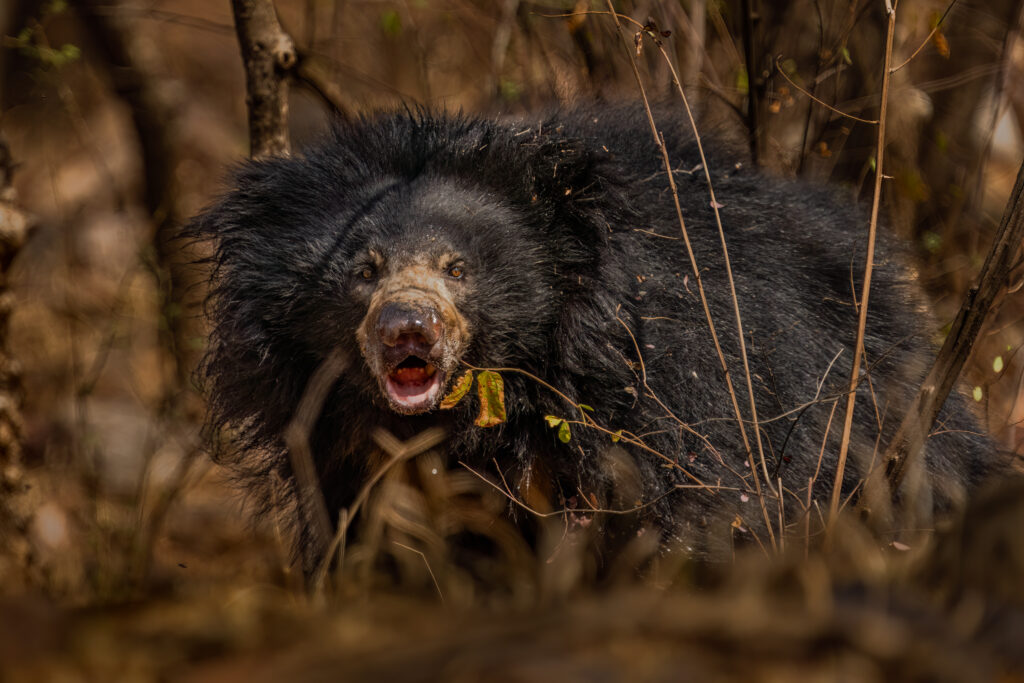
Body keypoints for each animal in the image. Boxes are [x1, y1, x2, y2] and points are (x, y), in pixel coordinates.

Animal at [189, 104, 995, 578]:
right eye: (366, 269)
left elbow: (694, 506)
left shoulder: (671, 386)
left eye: (458, 268)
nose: (406, 327)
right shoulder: (342, 448)